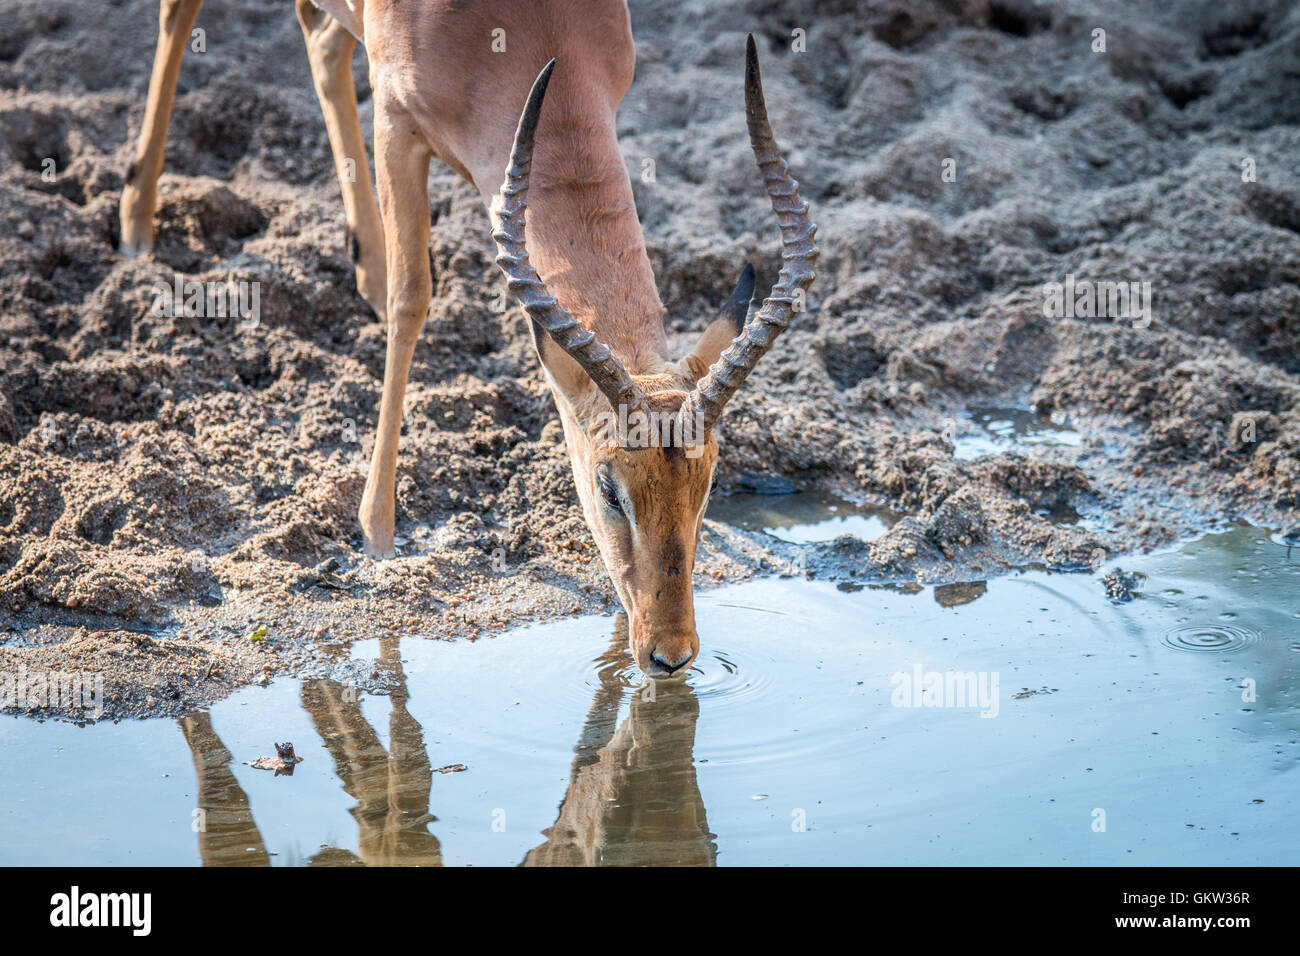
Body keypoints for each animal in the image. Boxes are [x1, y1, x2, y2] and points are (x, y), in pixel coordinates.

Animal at [120, 1, 817, 677]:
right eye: (608, 487)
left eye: (708, 483)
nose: (670, 656)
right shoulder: (396, 123)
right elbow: (411, 298)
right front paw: (376, 536)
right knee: (181, 15)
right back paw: (135, 225)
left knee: (318, 35)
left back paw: (358, 260)